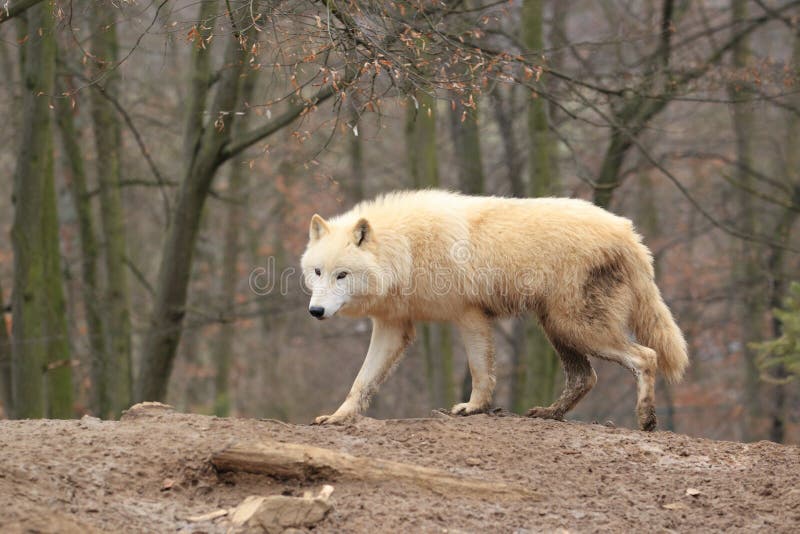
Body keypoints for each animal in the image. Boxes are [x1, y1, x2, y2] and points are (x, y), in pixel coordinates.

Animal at [300, 190, 688, 431]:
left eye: (342, 275)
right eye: (317, 272)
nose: (315, 311)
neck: (407, 249)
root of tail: (629, 234)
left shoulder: (469, 315)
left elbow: (480, 372)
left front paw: (473, 408)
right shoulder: (392, 326)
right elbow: (361, 382)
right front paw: (337, 417)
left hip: (577, 328)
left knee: (647, 357)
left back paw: (646, 420)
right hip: (558, 327)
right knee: (585, 377)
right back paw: (549, 413)